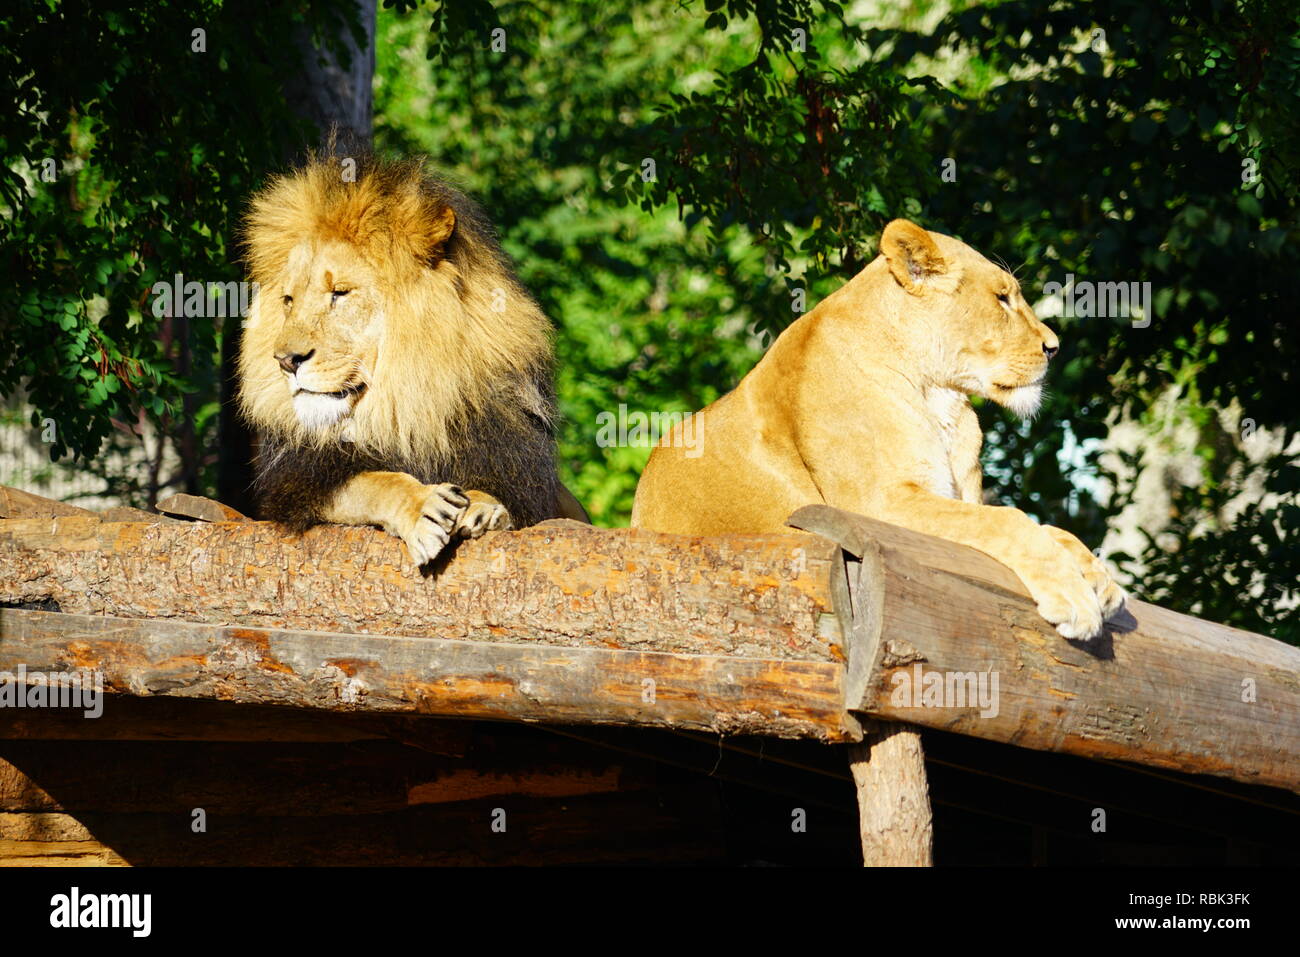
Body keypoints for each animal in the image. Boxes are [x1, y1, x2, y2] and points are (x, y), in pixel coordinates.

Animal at [237, 151, 587, 566]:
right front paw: (425, 509)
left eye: (340, 293)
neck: (405, 408)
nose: (285, 360)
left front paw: (483, 507)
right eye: (288, 300)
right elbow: (371, 482)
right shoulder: (297, 487)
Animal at [632, 219, 1125, 640]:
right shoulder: (877, 507)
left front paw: (1100, 579)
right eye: (1002, 298)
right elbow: (1008, 520)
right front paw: (1075, 598)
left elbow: (1046, 527)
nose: (1054, 348)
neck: (938, 395)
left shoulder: (952, 495)